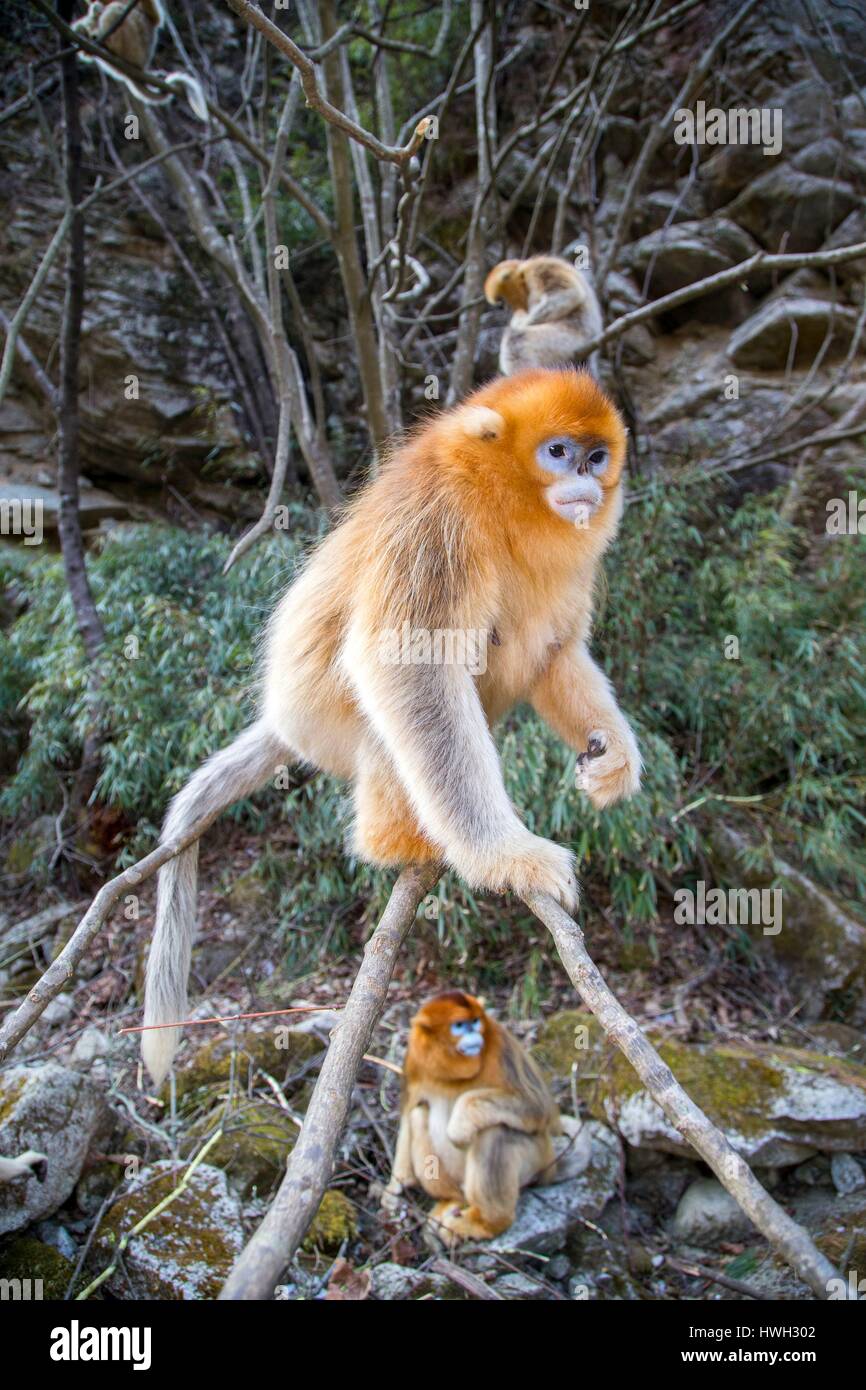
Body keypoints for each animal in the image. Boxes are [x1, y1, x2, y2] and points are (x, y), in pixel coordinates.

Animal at [142, 367, 642, 1087]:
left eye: (597, 456)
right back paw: (399, 840)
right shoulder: (436, 522)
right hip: (325, 721)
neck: (497, 498)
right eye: (557, 452)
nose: (586, 478)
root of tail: (281, 720)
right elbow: (405, 665)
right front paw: (502, 855)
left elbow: (557, 654)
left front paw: (612, 755)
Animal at [380, 991, 562, 1245]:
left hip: (538, 1161)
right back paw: (452, 1201)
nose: (473, 1033)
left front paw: (460, 1125)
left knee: (494, 1133)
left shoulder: (500, 1044)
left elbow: (537, 1106)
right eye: (459, 1025)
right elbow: (408, 1115)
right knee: (418, 1115)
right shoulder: (414, 1058)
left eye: (475, 1021)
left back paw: (486, 1223)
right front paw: (396, 1188)